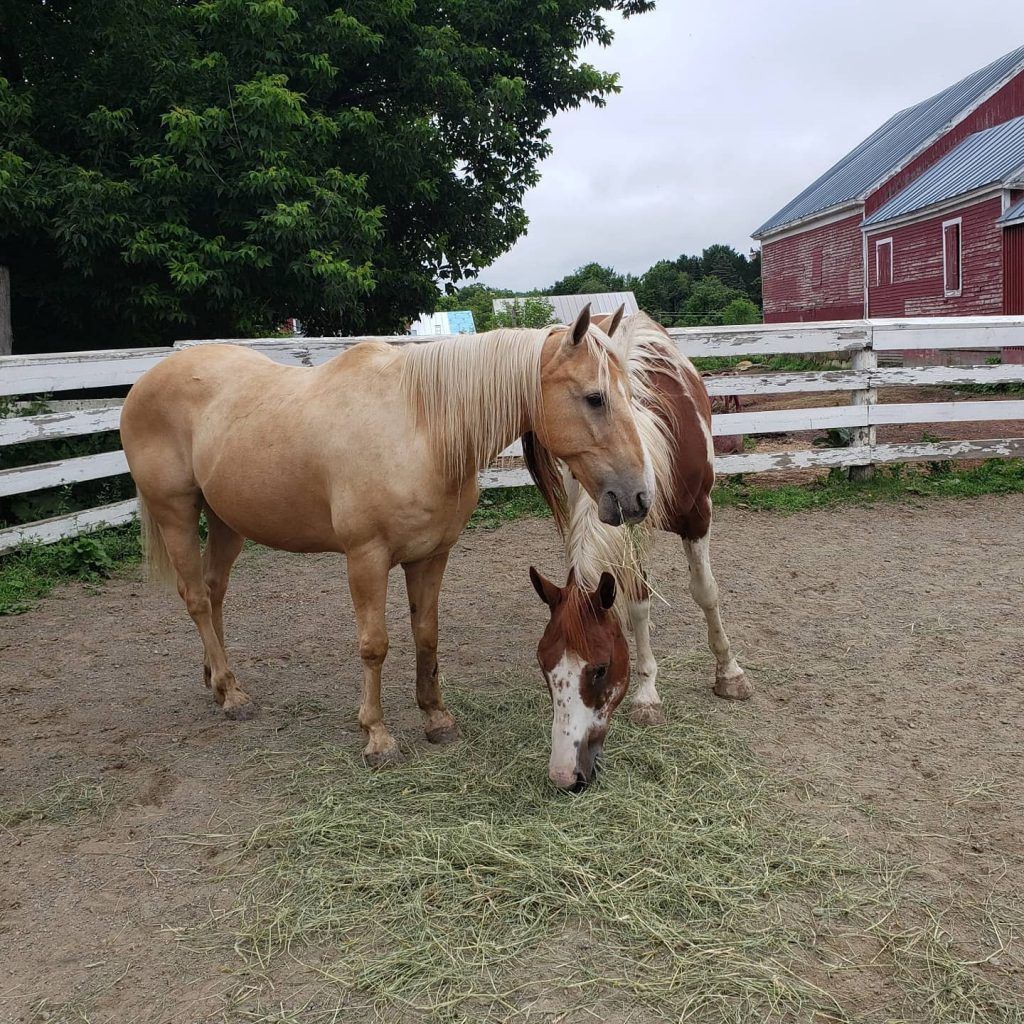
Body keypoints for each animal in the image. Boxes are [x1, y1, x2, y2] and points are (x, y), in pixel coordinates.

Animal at [119, 305, 653, 766]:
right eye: (595, 397)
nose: (638, 496)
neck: (421, 428)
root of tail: (143, 383)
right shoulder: (366, 559)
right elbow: (374, 645)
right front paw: (377, 737)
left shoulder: (432, 556)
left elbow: (426, 635)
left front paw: (437, 719)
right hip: (177, 514)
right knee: (195, 598)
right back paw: (232, 695)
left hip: (227, 521)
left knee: (214, 592)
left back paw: (216, 679)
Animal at [524, 310, 750, 790]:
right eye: (544, 667)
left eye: (600, 668)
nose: (564, 774)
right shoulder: (623, 523)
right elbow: (638, 604)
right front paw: (648, 693)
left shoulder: (698, 516)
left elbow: (706, 591)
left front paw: (729, 672)